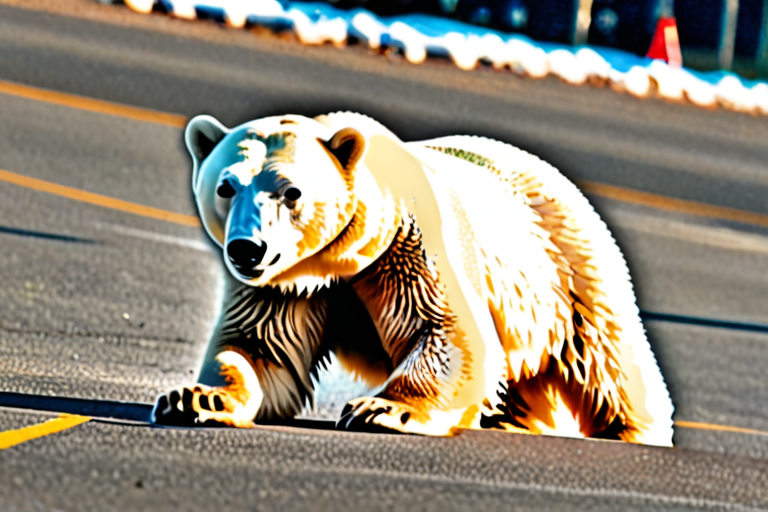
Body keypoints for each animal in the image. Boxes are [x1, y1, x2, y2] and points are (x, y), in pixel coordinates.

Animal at [151, 111, 675, 447]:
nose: (247, 248)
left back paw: (637, 429)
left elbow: (445, 332)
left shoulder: (412, 241)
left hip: (567, 268)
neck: (340, 259)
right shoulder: (285, 284)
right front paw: (197, 398)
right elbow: (260, 346)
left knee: (608, 361)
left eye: (291, 192)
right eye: (226, 186)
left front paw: (381, 410)